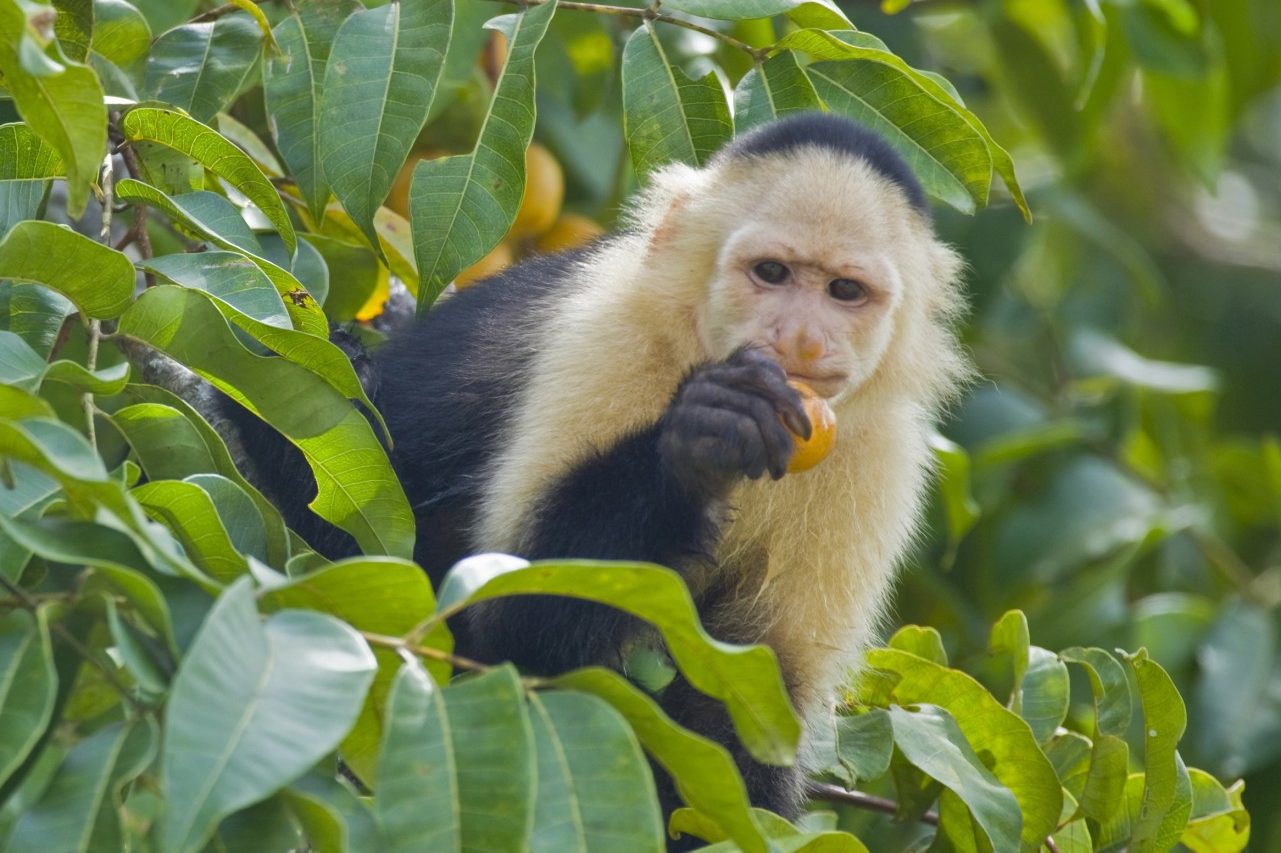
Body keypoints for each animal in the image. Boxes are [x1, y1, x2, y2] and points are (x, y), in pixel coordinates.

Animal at [225, 112, 969, 829]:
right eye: (772, 273)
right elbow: (512, 622)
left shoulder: (877, 456)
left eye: (845, 290)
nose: (803, 340)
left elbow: (747, 701)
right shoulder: (608, 336)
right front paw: (699, 444)